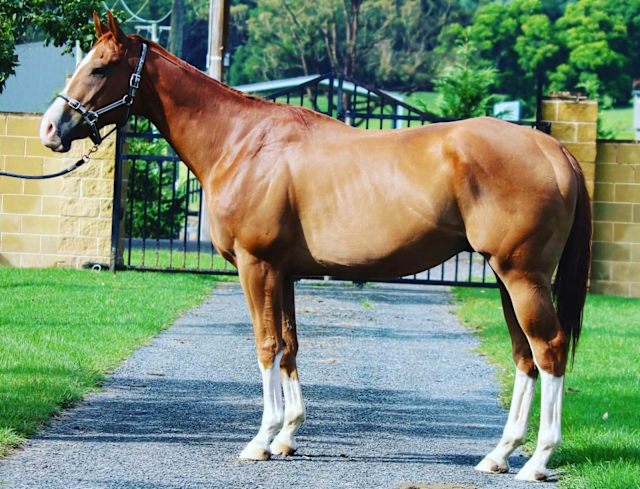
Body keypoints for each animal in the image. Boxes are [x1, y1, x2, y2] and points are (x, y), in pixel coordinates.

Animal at [39, 12, 591, 482]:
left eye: (100, 67)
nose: (50, 128)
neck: (243, 143)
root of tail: (552, 148)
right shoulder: (283, 273)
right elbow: (289, 345)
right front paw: (287, 436)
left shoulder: (256, 266)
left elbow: (266, 345)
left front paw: (260, 440)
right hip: (506, 278)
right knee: (524, 356)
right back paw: (499, 454)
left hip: (522, 277)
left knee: (549, 350)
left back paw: (537, 461)